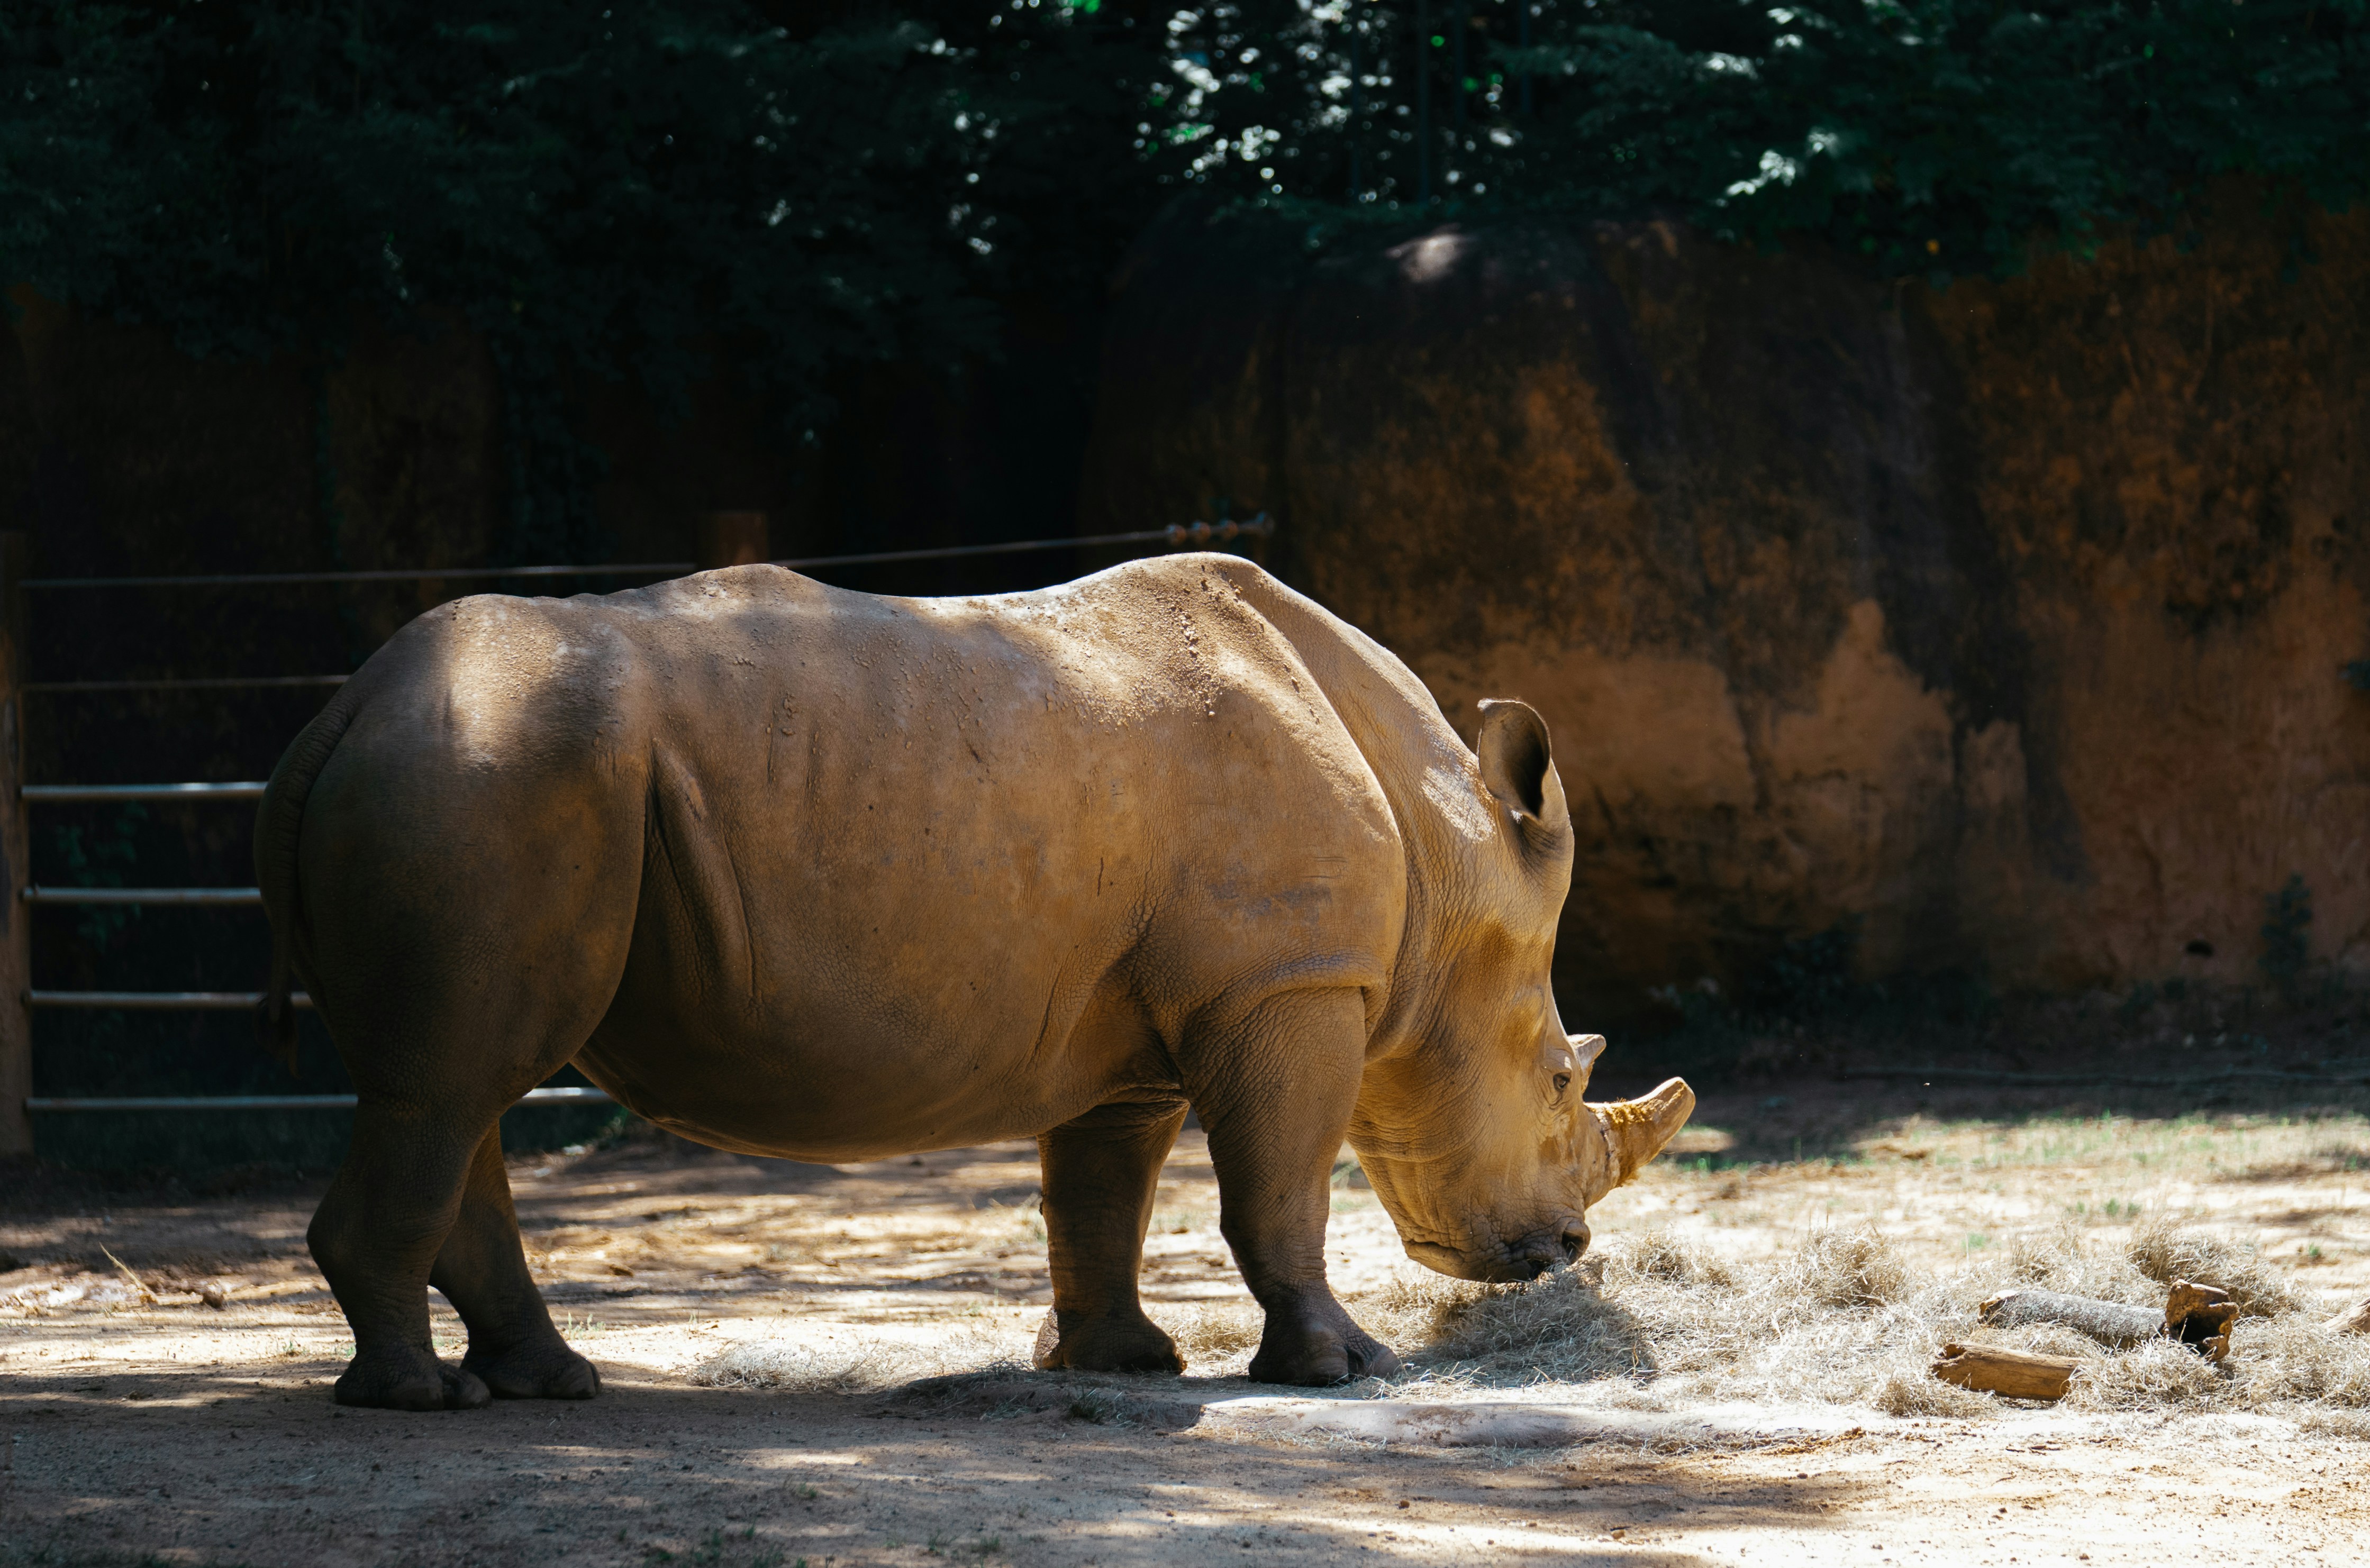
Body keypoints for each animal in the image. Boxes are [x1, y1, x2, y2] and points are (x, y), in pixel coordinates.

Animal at [255, 553, 1694, 1410]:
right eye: (1556, 1076)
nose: (1560, 1256)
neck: (1446, 866)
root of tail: (337, 713)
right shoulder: (1288, 984)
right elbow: (1277, 1187)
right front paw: (1342, 1367)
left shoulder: (1142, 1021)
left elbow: (1100, 1194)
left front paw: (1125, 1365)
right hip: (487, 778)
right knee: (455, 1083)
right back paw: (419, 1399)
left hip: (482, 776)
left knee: (457, 1086)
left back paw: (549, 1384)